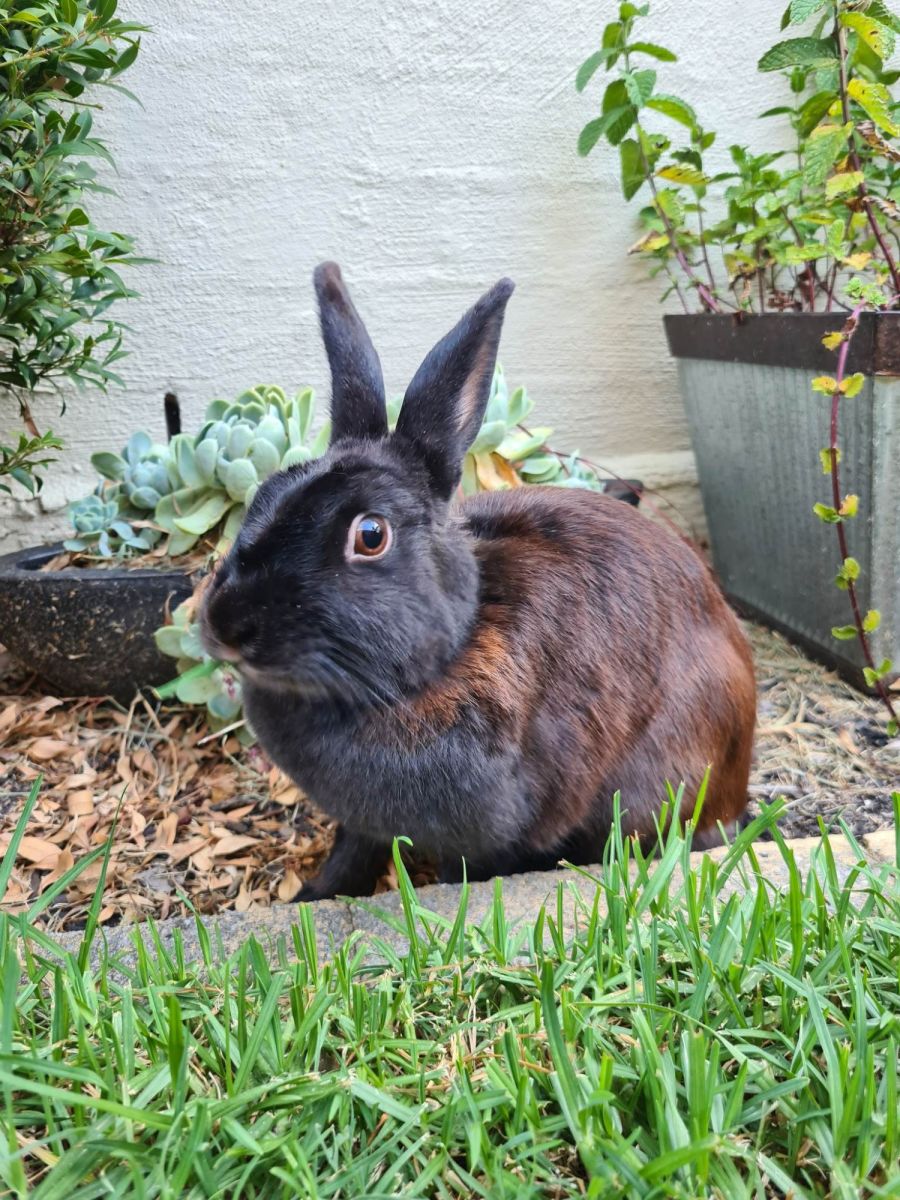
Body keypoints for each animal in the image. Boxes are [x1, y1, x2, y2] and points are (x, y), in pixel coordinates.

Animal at [200, 262, 757, 901]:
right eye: (265, 491)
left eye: (371, 535)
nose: (226, 623)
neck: (442, 659)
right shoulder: (363, 824)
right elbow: (352, 853)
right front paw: (314, 896)